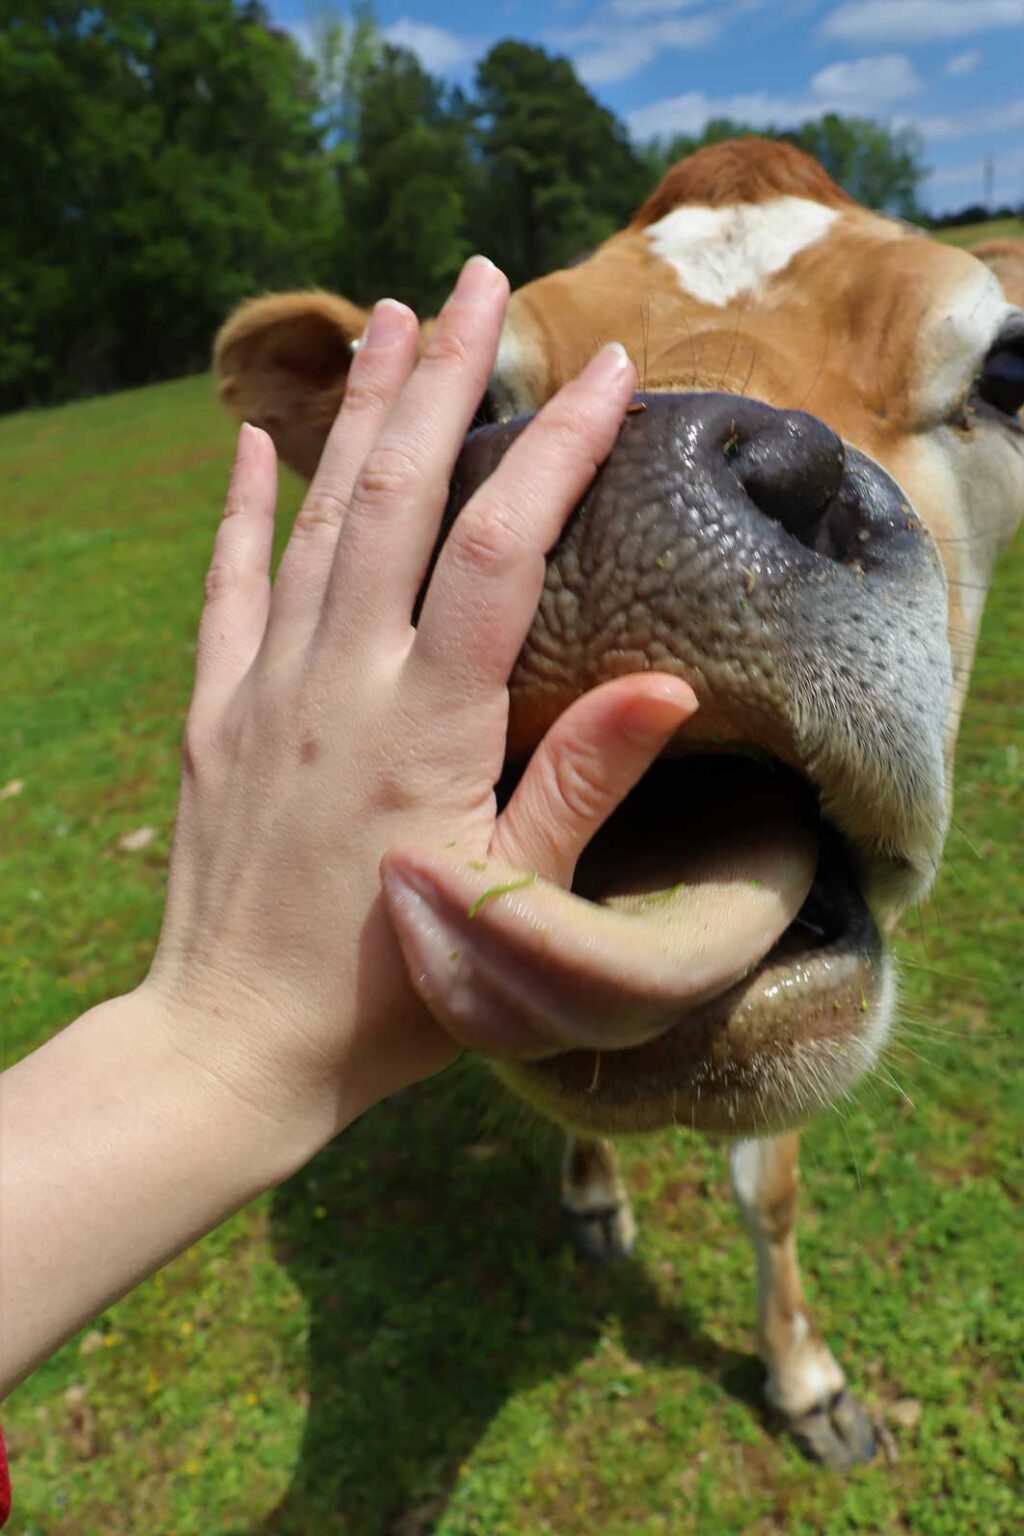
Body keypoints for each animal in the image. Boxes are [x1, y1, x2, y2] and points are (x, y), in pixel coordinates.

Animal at [213, 139, 1024, 1470]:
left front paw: (806, 1381)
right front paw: (598, 1200)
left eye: (1007, 368)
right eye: (475, 399)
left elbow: (770, 1187)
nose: (622, 489)